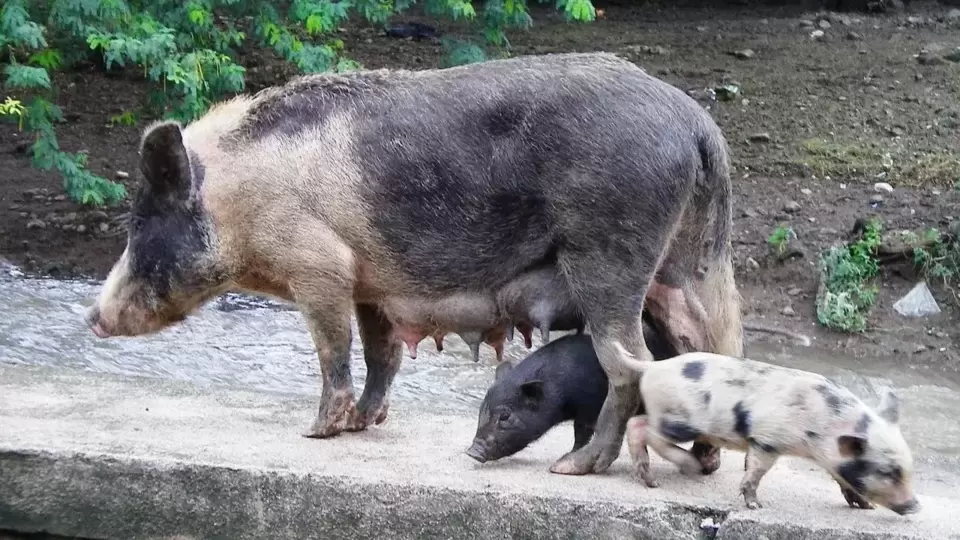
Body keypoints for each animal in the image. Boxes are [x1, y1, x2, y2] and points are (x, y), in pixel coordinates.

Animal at [467, 322, 678, 464]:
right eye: (482, 409)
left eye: (505, 415)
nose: (472, 452)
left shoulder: (588, 407)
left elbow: (582, 432)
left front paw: (565, 458)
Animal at [623, 350, 919, 515]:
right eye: (887, 472)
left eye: (907, 470)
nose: (915, 506)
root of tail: (652, 366)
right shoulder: (768, 440)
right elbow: (756, 472)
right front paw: (756, 506)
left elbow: (842, 479)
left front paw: (866, 507)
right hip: (679, 421)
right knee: (645, 430)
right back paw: (687, 469)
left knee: (636, 423)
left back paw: (651, 481)